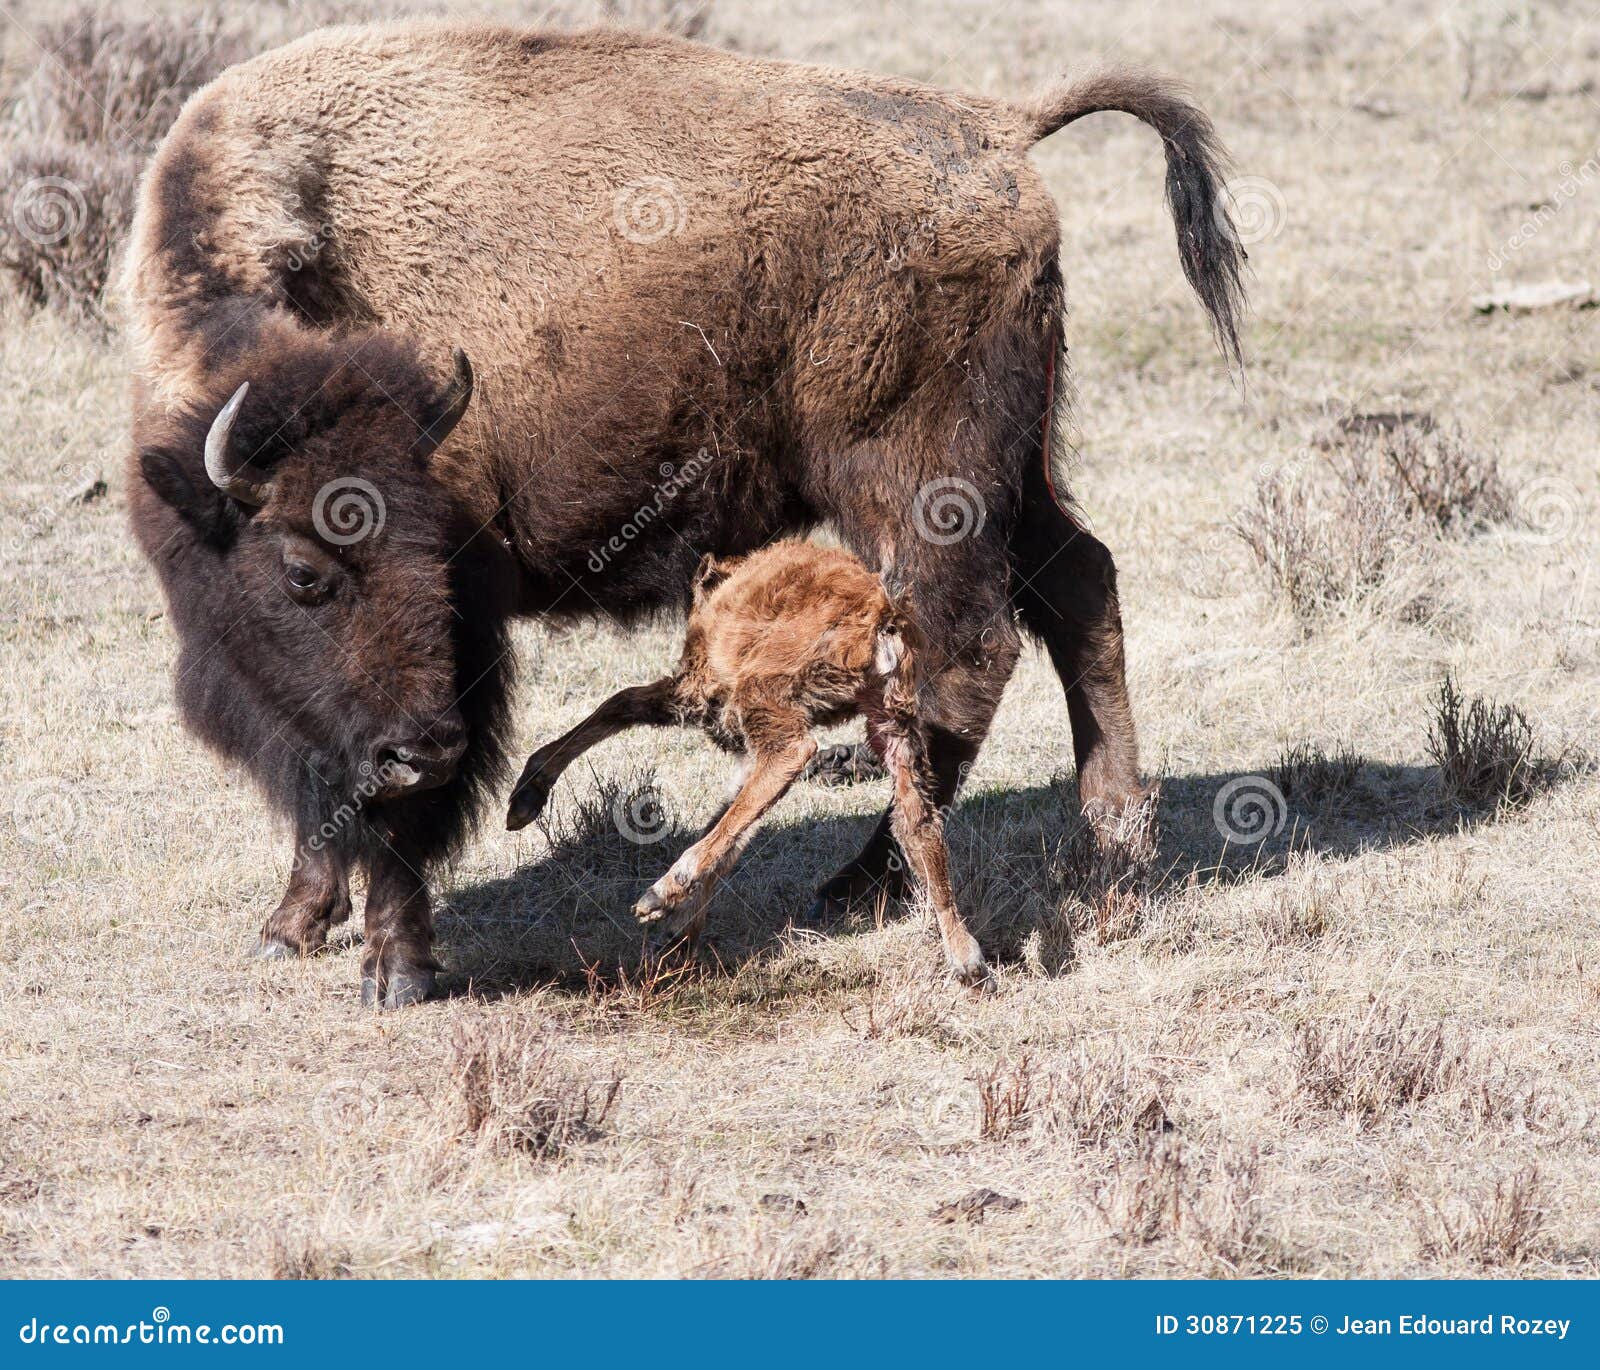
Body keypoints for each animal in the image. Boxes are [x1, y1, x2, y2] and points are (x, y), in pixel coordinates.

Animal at [121, 21, 1246, 1007]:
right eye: (303, 571)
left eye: (435, 558)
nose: (420, 748)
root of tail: (997, 126)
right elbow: (320, 783)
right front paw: (290, 924)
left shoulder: (460, 642)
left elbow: (400, 819)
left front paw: (394, 969)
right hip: (1018, 468)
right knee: (1079, 588)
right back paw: (1115, 844)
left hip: (919, 481)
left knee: (968, 650)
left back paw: (862, 883)